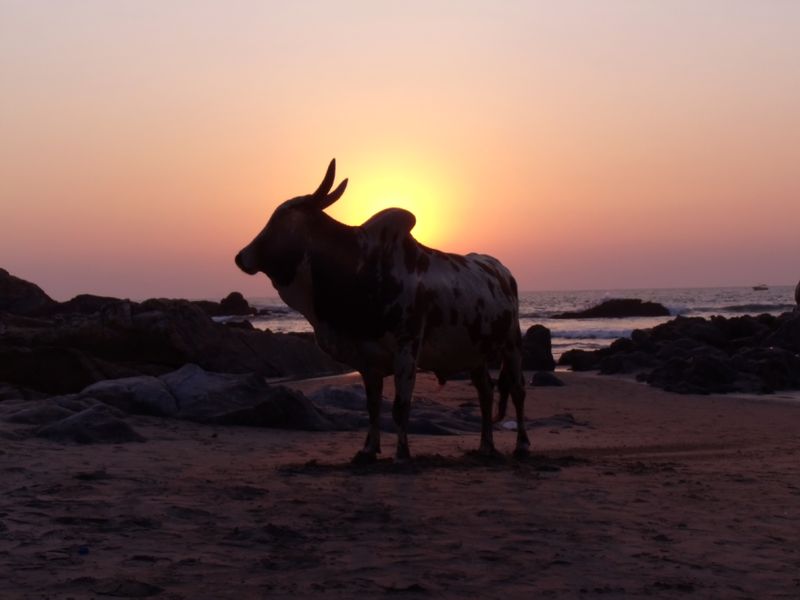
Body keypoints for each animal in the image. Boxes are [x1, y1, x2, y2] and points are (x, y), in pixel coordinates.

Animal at [235, 159, 529, 462]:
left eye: (280, 218)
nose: (241, 257)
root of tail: (503, 271)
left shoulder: (407, 347)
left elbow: (400, 406)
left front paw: (402, 452)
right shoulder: (367, 358)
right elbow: (373, 406)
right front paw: (368, 449)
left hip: (512, 343)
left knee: (518, 390)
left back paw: (521, 445)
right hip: (476, 354)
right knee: (485, 393)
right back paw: (486, 446)